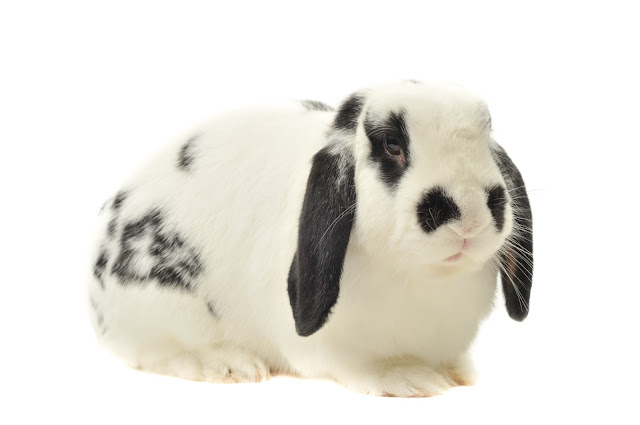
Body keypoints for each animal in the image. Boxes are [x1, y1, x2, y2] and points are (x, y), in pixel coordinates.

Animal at [87, 80, 533, 397]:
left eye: (486, 137)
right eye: (392, 145)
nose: (470, 215)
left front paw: (458, 374)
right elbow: (364, 366)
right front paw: (412, 381)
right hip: (161, 308)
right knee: (159, 350)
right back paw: (230, 366)